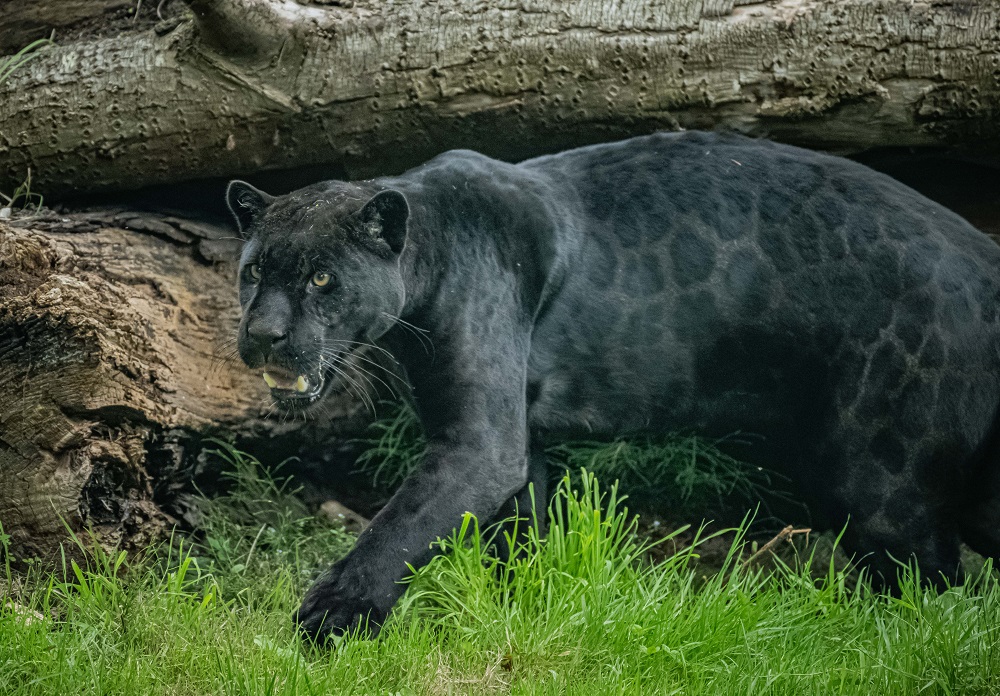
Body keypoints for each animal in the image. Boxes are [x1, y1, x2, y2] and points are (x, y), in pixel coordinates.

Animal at [226, 131, 1000, 641]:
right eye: (255, 270)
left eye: (323, 278)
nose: (263, 333)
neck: (430, 254)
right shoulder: (513, 442)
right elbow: (520, 531)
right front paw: (519, 613)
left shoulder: (478, 443)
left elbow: (403, 522)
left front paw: (328, 618)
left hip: (881, 483)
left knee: (934, 584)